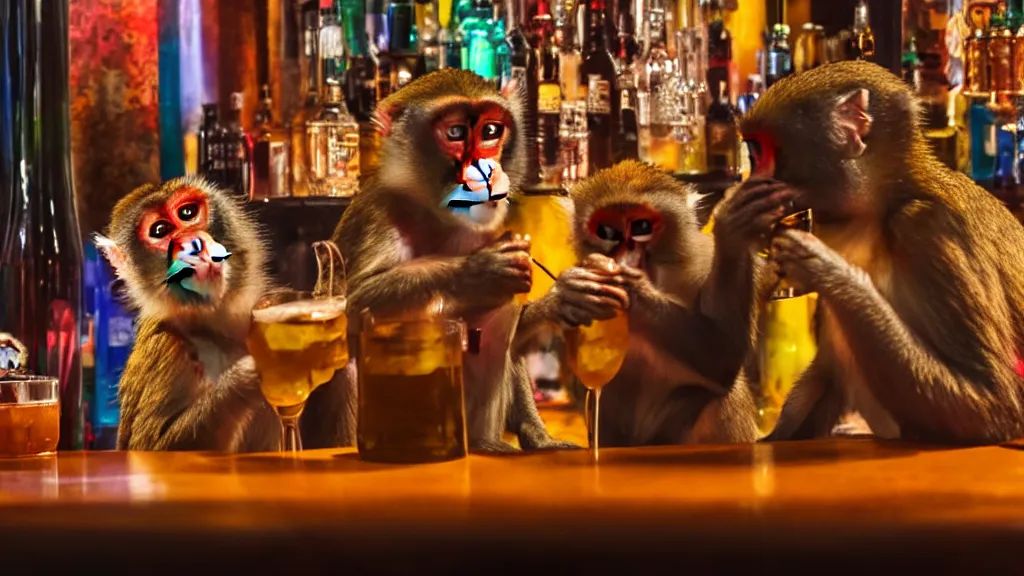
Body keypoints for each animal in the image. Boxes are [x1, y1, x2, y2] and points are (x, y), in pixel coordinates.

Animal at [96, 176, 353, 451]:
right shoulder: (165, 348)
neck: (215, 323)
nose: (194, 243)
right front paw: (251, 373)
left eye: (187, 213)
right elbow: (149, 446)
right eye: (160, 230)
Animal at [331, 68, 577, 452]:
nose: (486, 172)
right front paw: (479, 271)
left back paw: (481, 443)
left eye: (490, 131)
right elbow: (353, 305)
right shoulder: (380, 212)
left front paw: (539, 438)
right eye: (456, 133)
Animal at [516, 160, 794, 446]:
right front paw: (565, 295)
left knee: (712, 398)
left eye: (641, 228)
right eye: (606, 232)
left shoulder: (706, 259)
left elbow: (724, 357)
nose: (627, 257)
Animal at [742, 60, 1024, 445]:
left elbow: (995, 401)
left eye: (760, 152)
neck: (880, 209)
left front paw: (826, 269)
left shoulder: (928, 228)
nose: (748, 180)